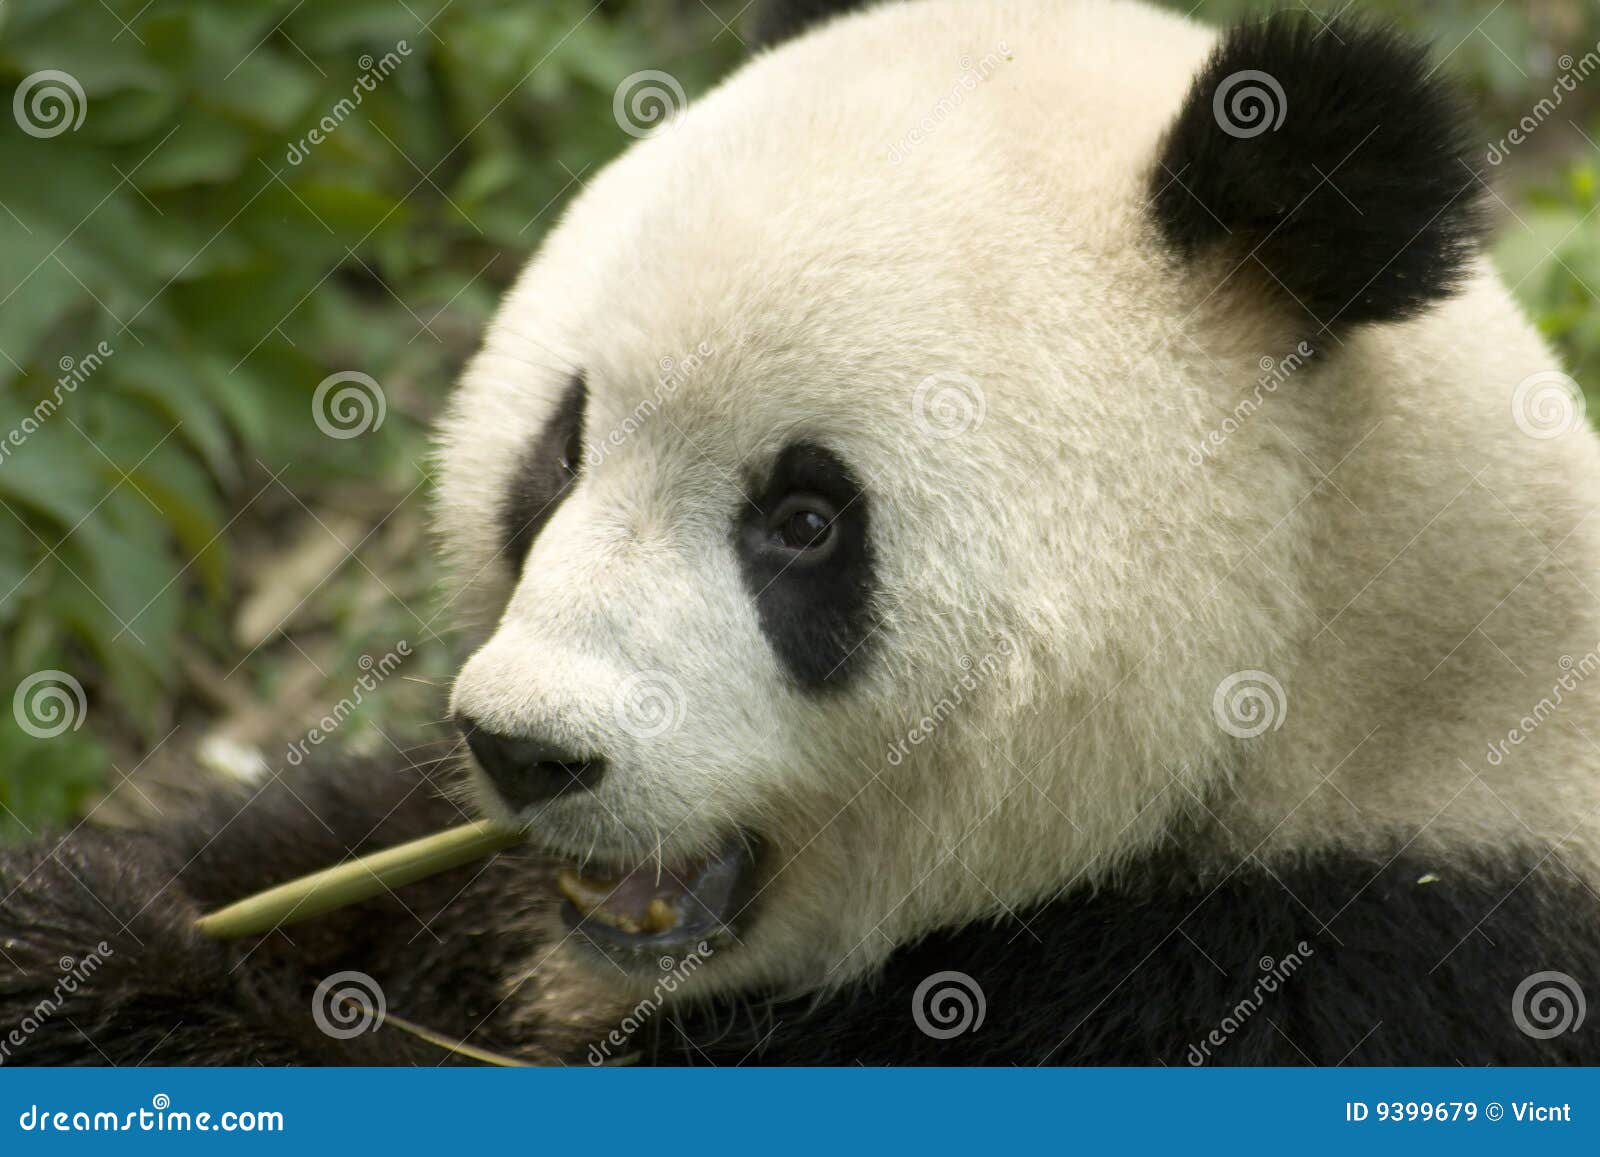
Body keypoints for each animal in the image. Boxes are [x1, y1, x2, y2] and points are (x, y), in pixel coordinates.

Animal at [4, 0, 1599, 1066]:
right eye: (561, 452)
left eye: (806, 519)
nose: (527, 749)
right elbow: (345, 847)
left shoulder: (1315, 963)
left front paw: (102, 964)